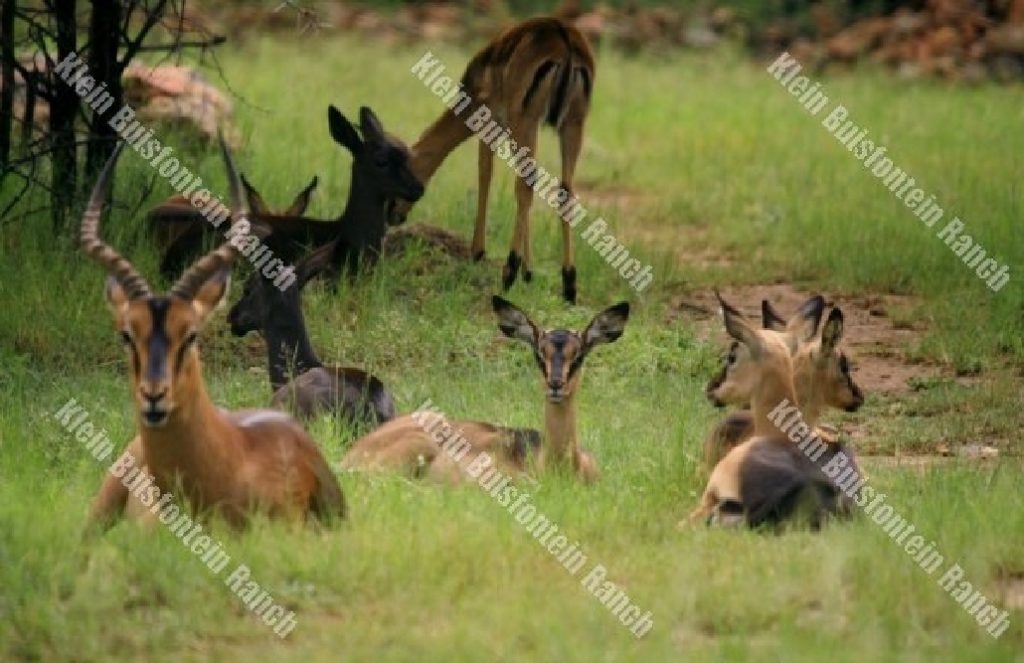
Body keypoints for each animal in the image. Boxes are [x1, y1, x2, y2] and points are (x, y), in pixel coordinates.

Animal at [392, 16, 596, 303]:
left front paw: (478, 253)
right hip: (572, 124)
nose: (392, 216)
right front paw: (529, 273)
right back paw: (568, 283)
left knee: (525, 184)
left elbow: (484, 175)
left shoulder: (488, 123)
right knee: (564, 190)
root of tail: (564, 38)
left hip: (527, 120)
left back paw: (509, 272)